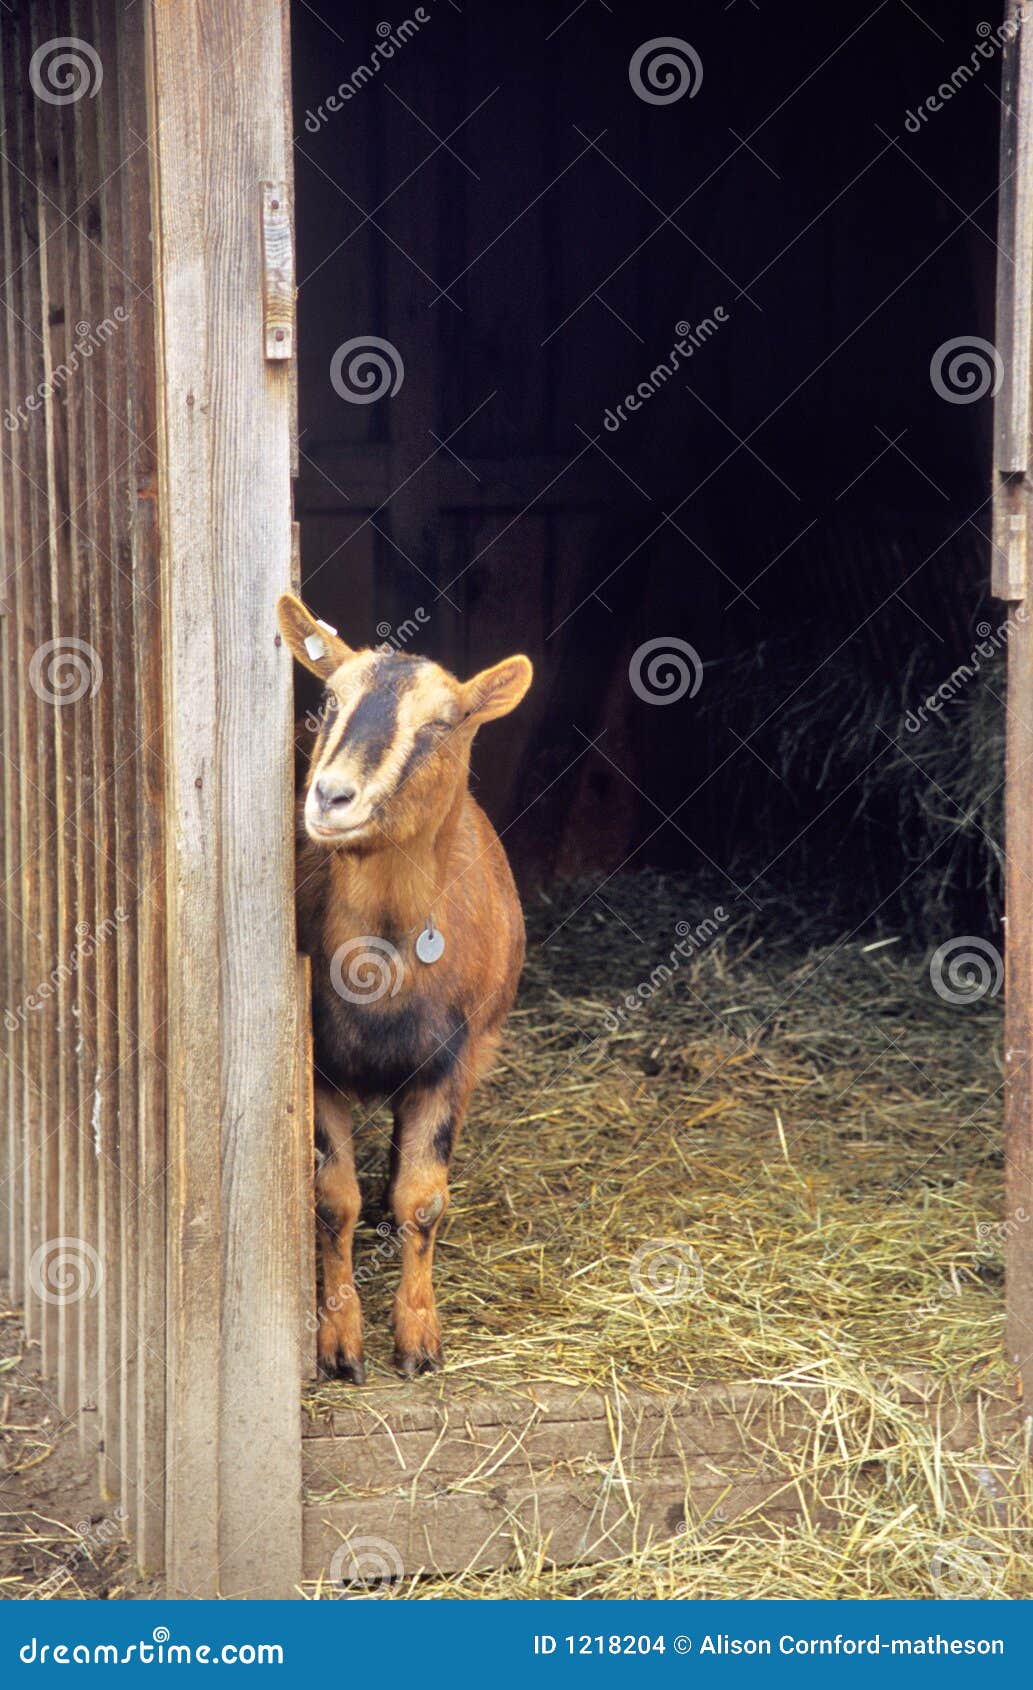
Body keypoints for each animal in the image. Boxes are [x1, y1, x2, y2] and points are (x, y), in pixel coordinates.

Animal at [277, 594, 533, 1381]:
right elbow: (332, 1199)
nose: (331, 797)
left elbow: (424, 1198)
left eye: (441, 724)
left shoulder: (455, 1060)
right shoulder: (319, 1065)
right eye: (330, 700)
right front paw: (339, 1345)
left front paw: (419, 1339)